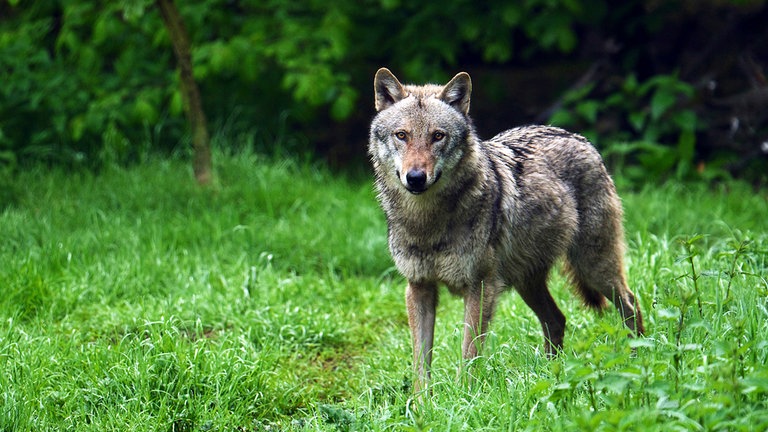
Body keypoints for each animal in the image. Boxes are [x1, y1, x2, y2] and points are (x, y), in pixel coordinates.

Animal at [368, 68, 645, 392]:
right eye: (402, 135)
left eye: (437, 136)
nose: (415, 177)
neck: (427, 223)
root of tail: (579, 138)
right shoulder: (418, 288)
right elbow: (420, 363)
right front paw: (423, 402)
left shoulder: (480, 287)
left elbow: (469, 353)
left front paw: (465, 396)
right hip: (528, 282)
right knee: (557, 319)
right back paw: (552, 375)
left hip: (594, 268)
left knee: (631, 304)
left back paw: (637, 361)